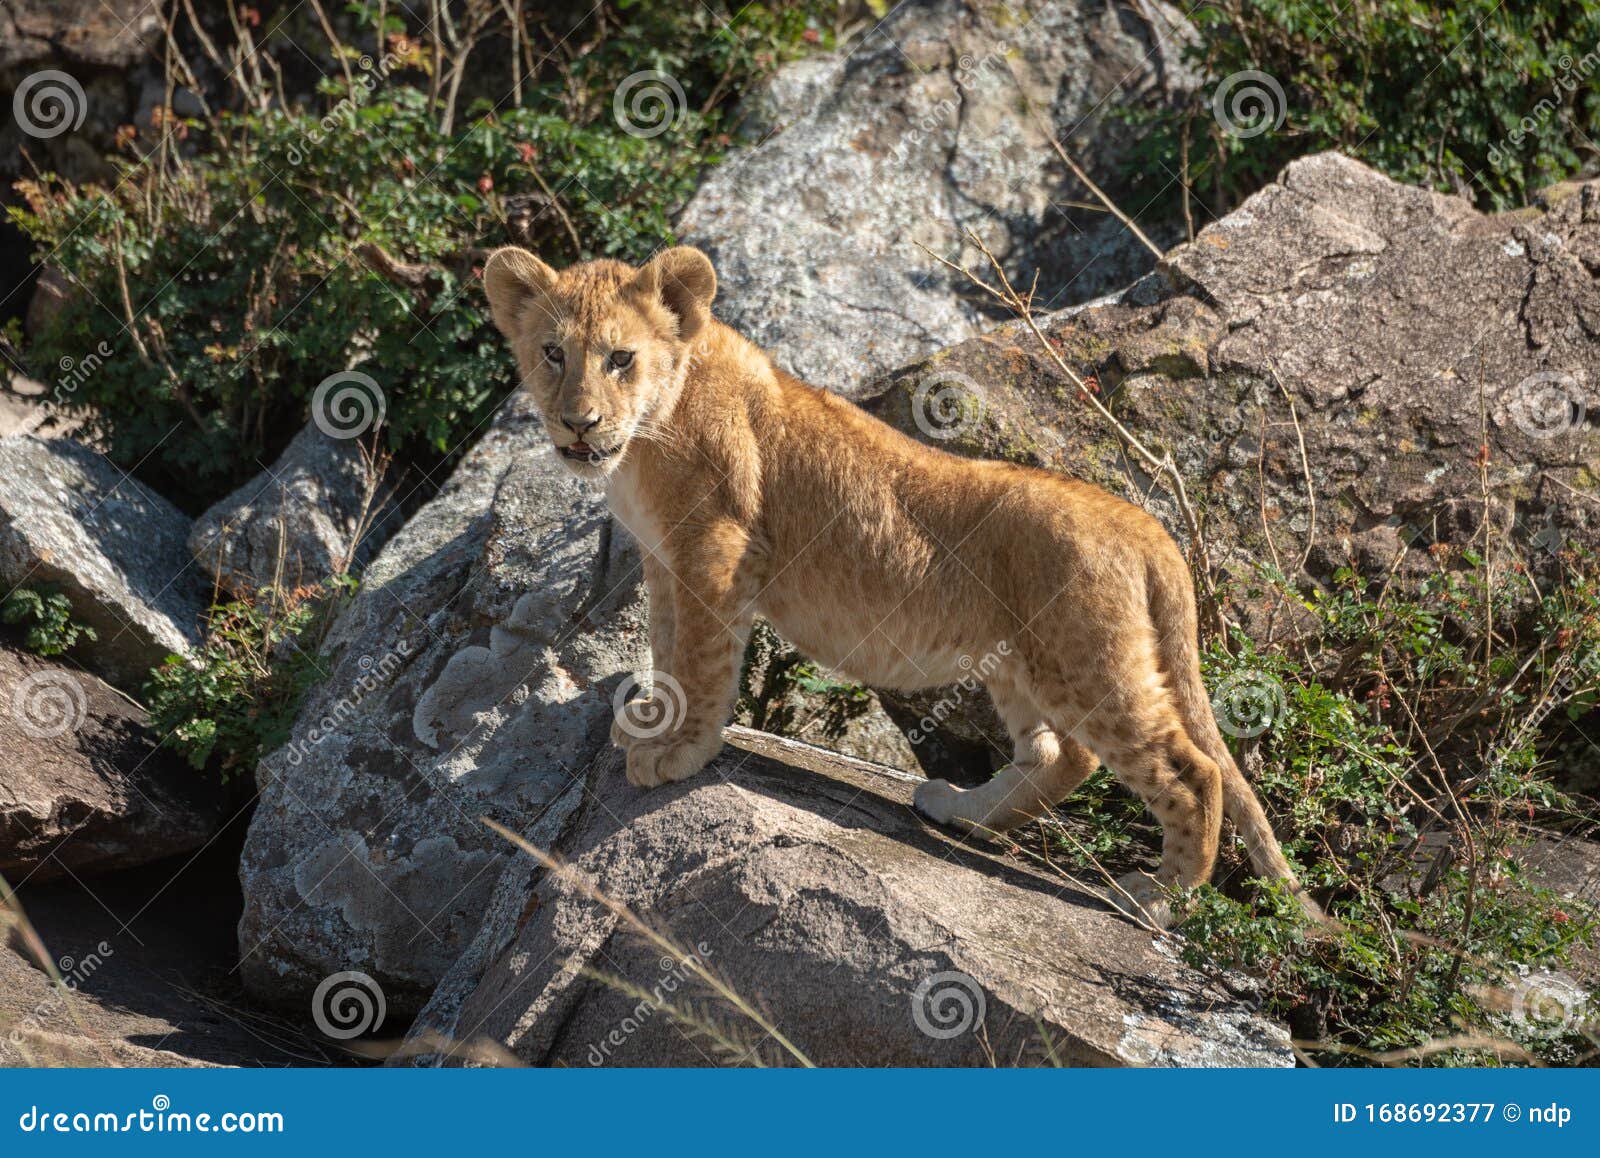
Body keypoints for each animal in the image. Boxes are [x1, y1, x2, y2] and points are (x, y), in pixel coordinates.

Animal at [482, 244, 1318, 926]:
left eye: (621, 358)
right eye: (552, 353)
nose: (579, 424)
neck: (645, 436)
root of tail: (1148, 528)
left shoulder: (716, 554)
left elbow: (700, 661)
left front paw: (678, 753)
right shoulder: (665, 561)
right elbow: (665, 645)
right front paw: (652, 722)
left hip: (1089, 661)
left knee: (1192, 770)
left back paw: (1156, 897)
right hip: (1020, 661)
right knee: (1061, 756)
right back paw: (963, 809)